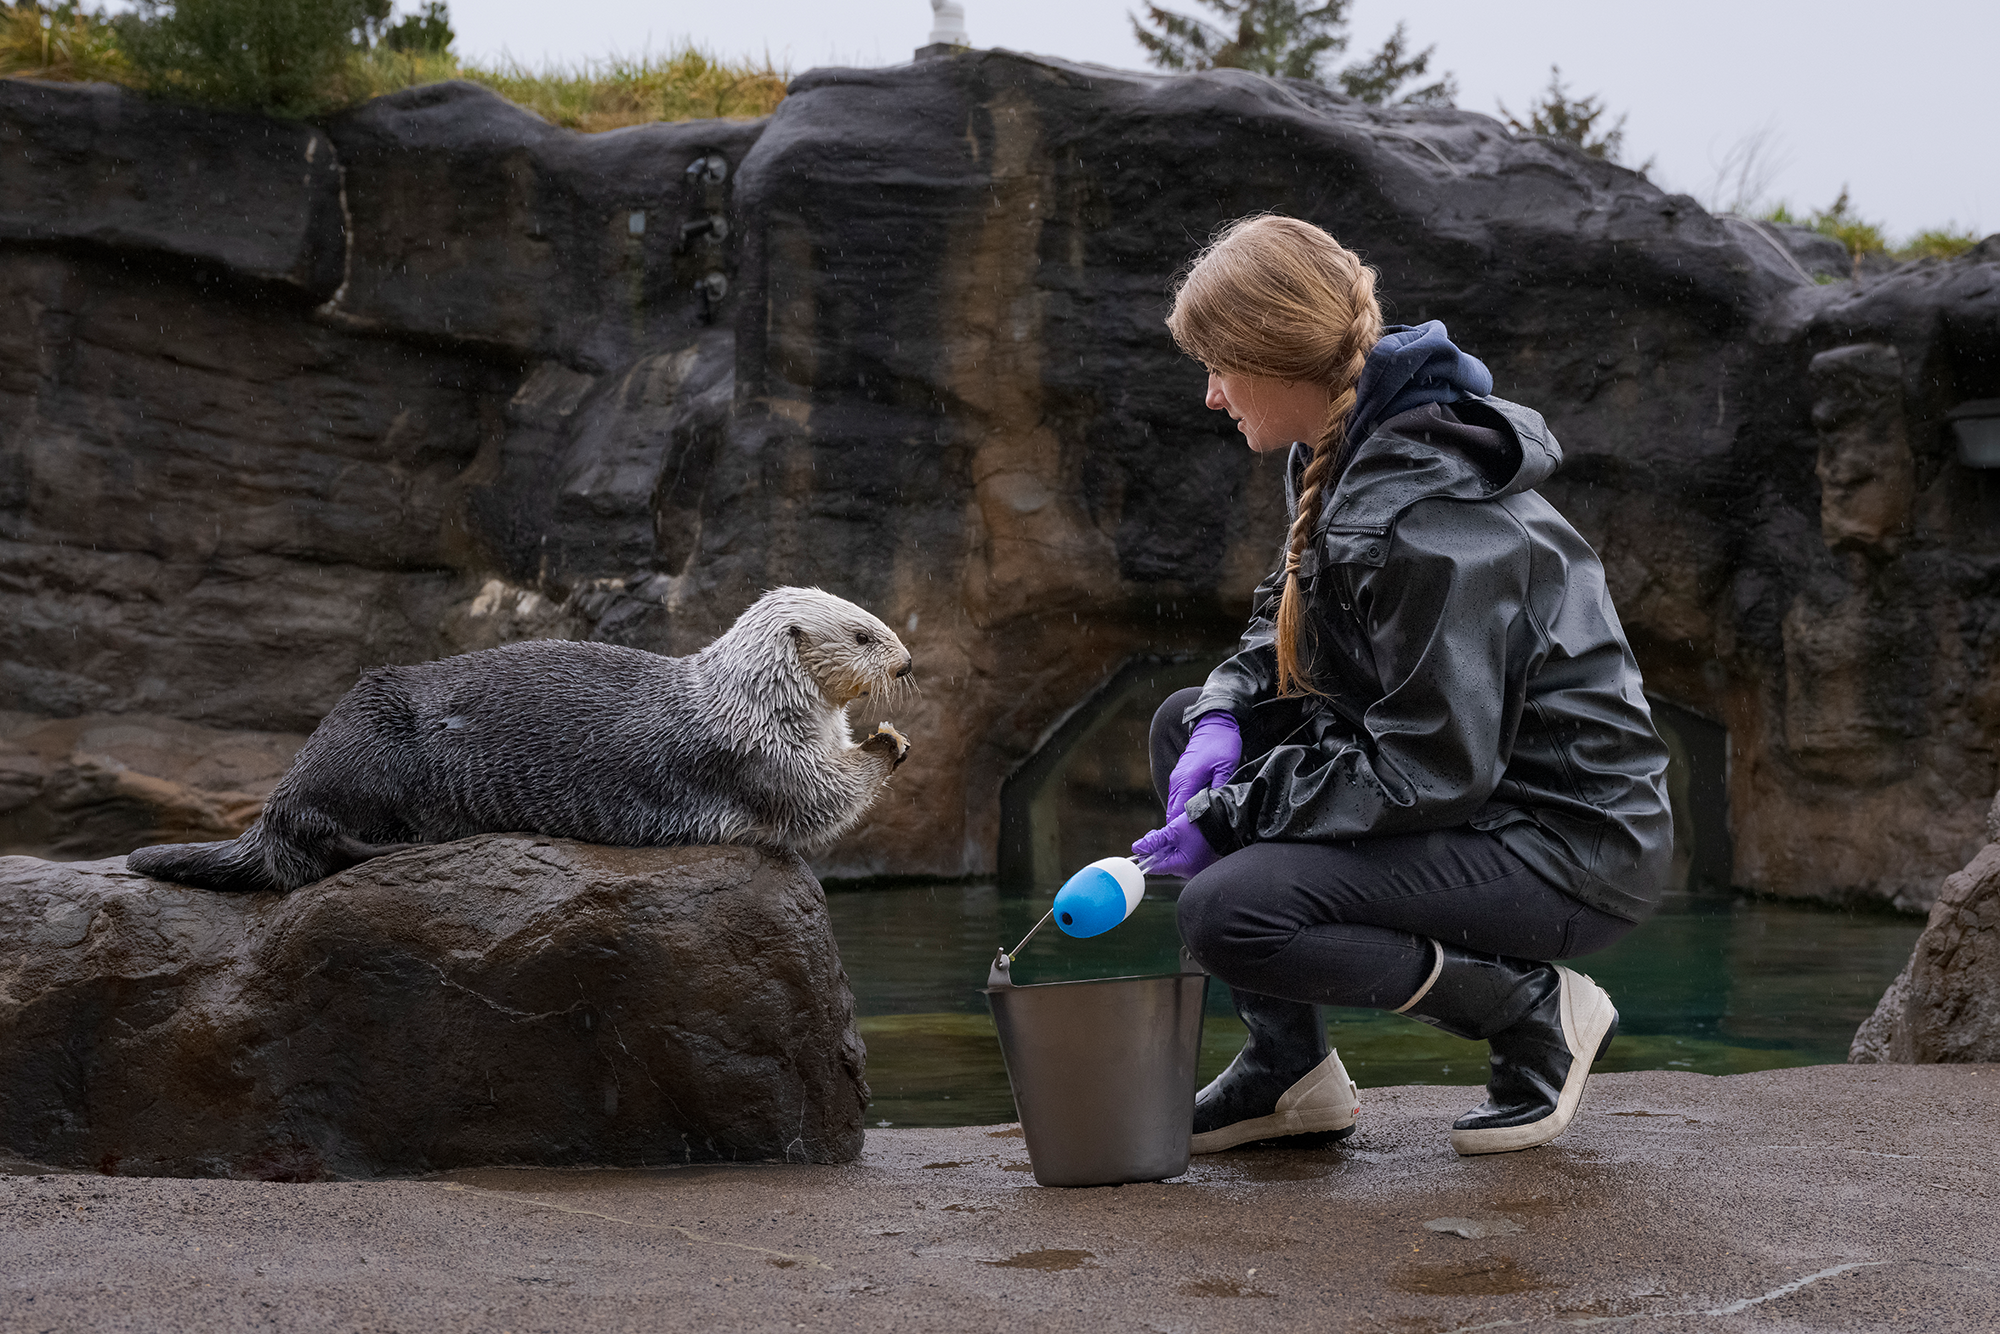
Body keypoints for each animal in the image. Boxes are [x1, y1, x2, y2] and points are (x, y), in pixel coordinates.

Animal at [127, 587, 914, 894]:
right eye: (864, 634)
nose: (907, 663)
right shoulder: (754, 751)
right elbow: (816, 796)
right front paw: (886, 743)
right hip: (362, 747)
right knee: (311, 842)